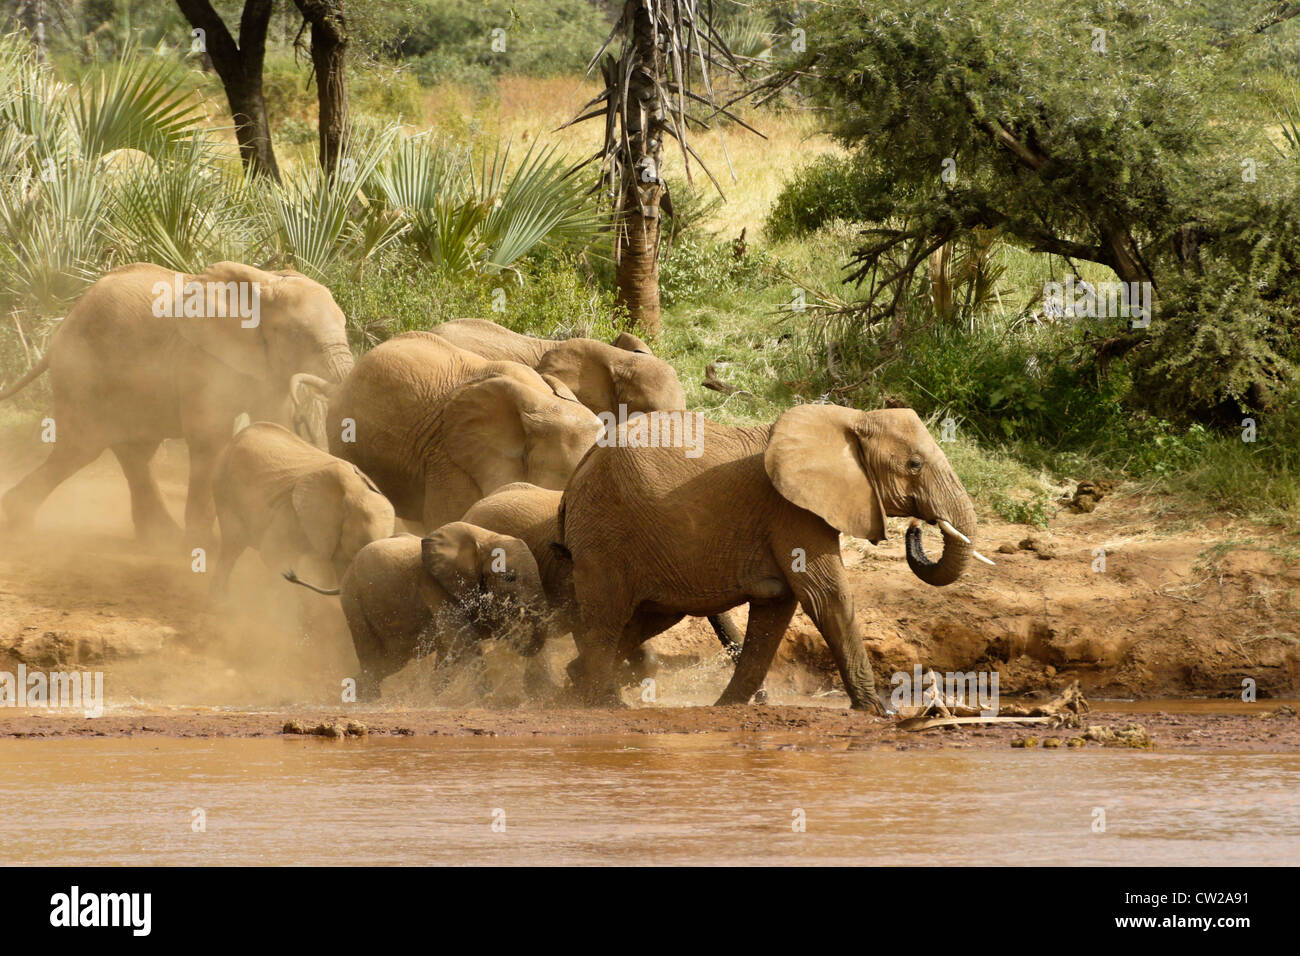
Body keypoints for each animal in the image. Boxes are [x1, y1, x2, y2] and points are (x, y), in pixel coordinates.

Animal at [0, 261, 354, 543]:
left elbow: (273, 424)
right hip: (81, 368)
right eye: (296, 335)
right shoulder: (198, 358)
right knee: (82, 446)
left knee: (132, 449)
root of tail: (63, 325)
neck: (264, 281)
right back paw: (16, 526)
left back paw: (160, 539)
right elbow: (210, 438)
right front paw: (201, 543)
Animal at [210, 422, 395, 597]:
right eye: (359, 547)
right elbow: (273, 555)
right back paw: (220, 601)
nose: (292, 576)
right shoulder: (290, 511)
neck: (355, 491)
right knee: (233, 544)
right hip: (225, 489)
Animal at [285, 523, 548, 699]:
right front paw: (491, 700)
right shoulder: (432, 584)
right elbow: (462, 639)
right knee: (372, 653)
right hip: (354, 600)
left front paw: (432, 697)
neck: (484, 537)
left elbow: (451, 649)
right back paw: (369, 698)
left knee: (390, 662)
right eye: (510, 577)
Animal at [557, 405, 991, 710]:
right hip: (605, 535)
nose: (918, 527)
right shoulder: (794, 511)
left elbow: (777, 607)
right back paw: (605, 703)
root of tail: (578, 470)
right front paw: (876, 711)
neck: (851, 418)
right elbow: (826, 596)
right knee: (607, 615)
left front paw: (726, 707)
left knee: (644, 618)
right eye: (914, 465)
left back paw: (574, 682)